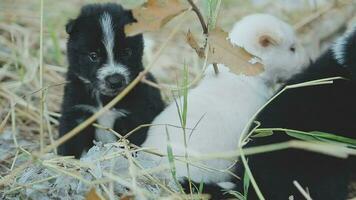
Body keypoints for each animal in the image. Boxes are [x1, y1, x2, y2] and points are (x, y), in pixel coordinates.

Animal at [58, 3, 164, 158]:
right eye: (93, 55)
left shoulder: (135, 117)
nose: (115, 81)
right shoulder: (76, 114)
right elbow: (69, 144)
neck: (104, 100)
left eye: (127, 52)